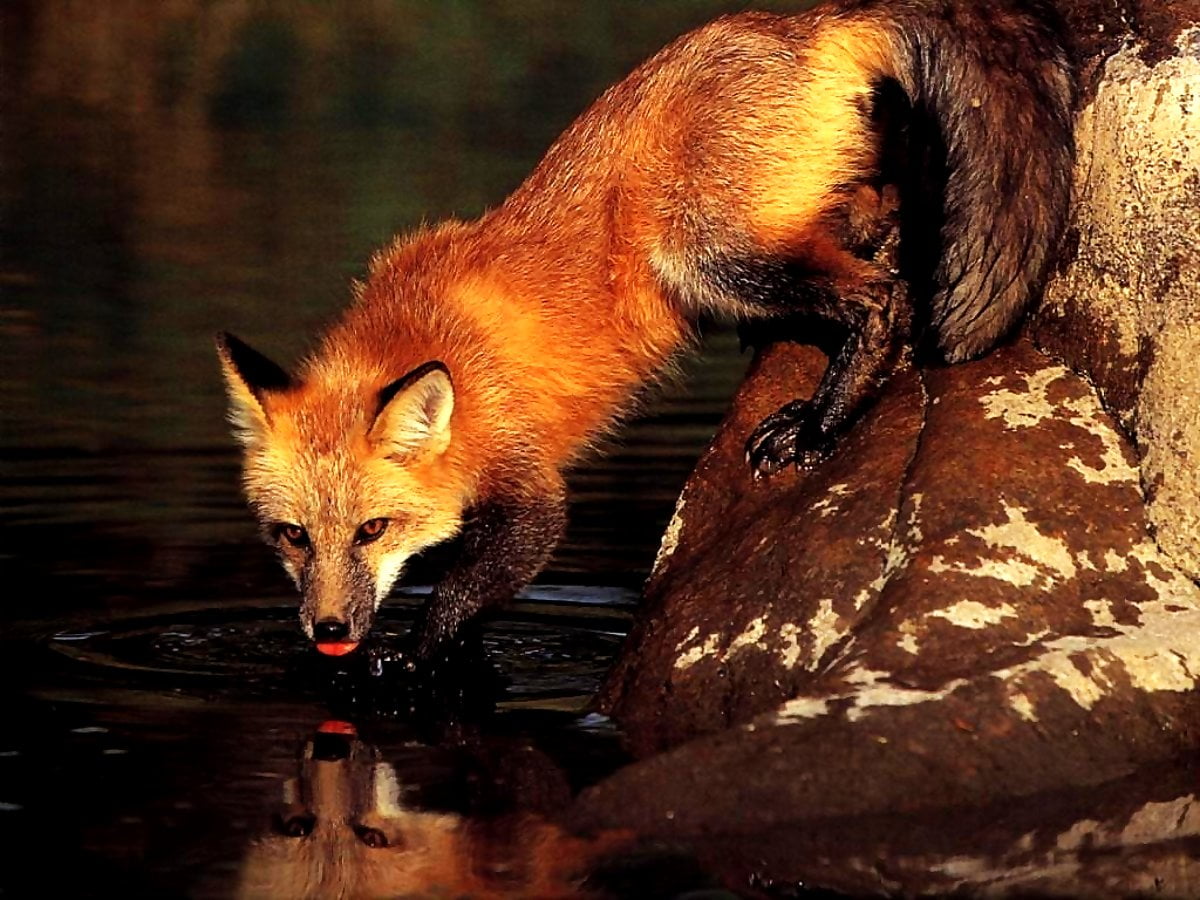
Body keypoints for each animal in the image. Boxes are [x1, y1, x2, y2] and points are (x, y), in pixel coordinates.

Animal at [218, 0, 1074, 659]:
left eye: (372, 529)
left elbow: (477, 578)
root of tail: (805, 21)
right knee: (878, 224)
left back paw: (822, 421)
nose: (330, 633)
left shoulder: (525, 483)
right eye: (292, 537)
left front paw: (412, 656)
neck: (428, 338)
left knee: (883, 299)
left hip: (704, 254)